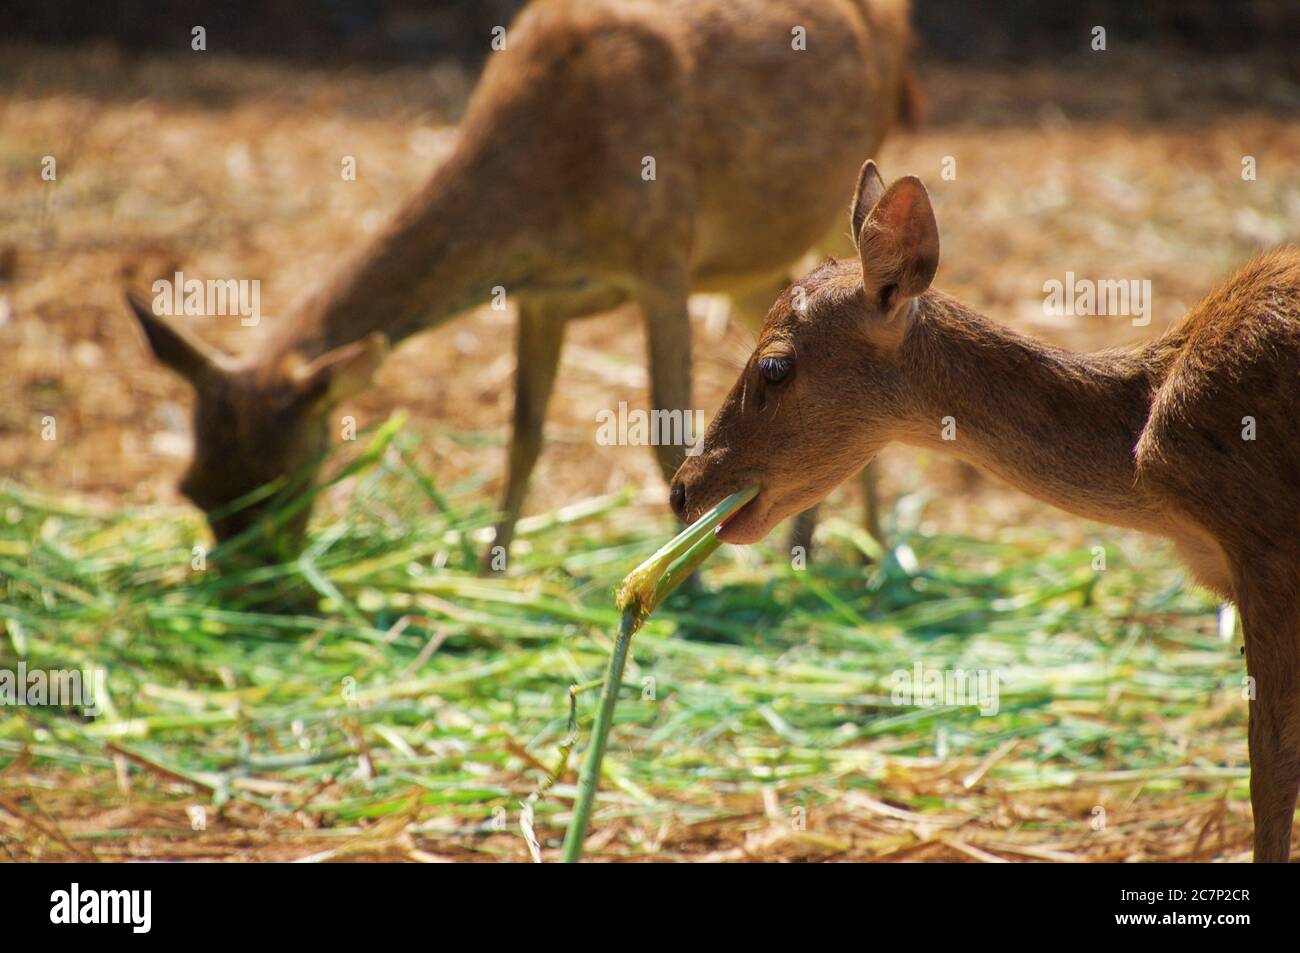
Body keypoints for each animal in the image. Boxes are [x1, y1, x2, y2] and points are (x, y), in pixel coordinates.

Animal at [125, 0, 918, 565]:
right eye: (190, 488)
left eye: (285, 485)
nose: (253, 592)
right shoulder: (541, 298)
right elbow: (522, 437)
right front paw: (490, 565)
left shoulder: (662, 258)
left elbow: (665, 435)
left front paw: (683, 589)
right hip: (748, 260)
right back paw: (809, 546)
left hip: (838, 201)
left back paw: (871, 554)